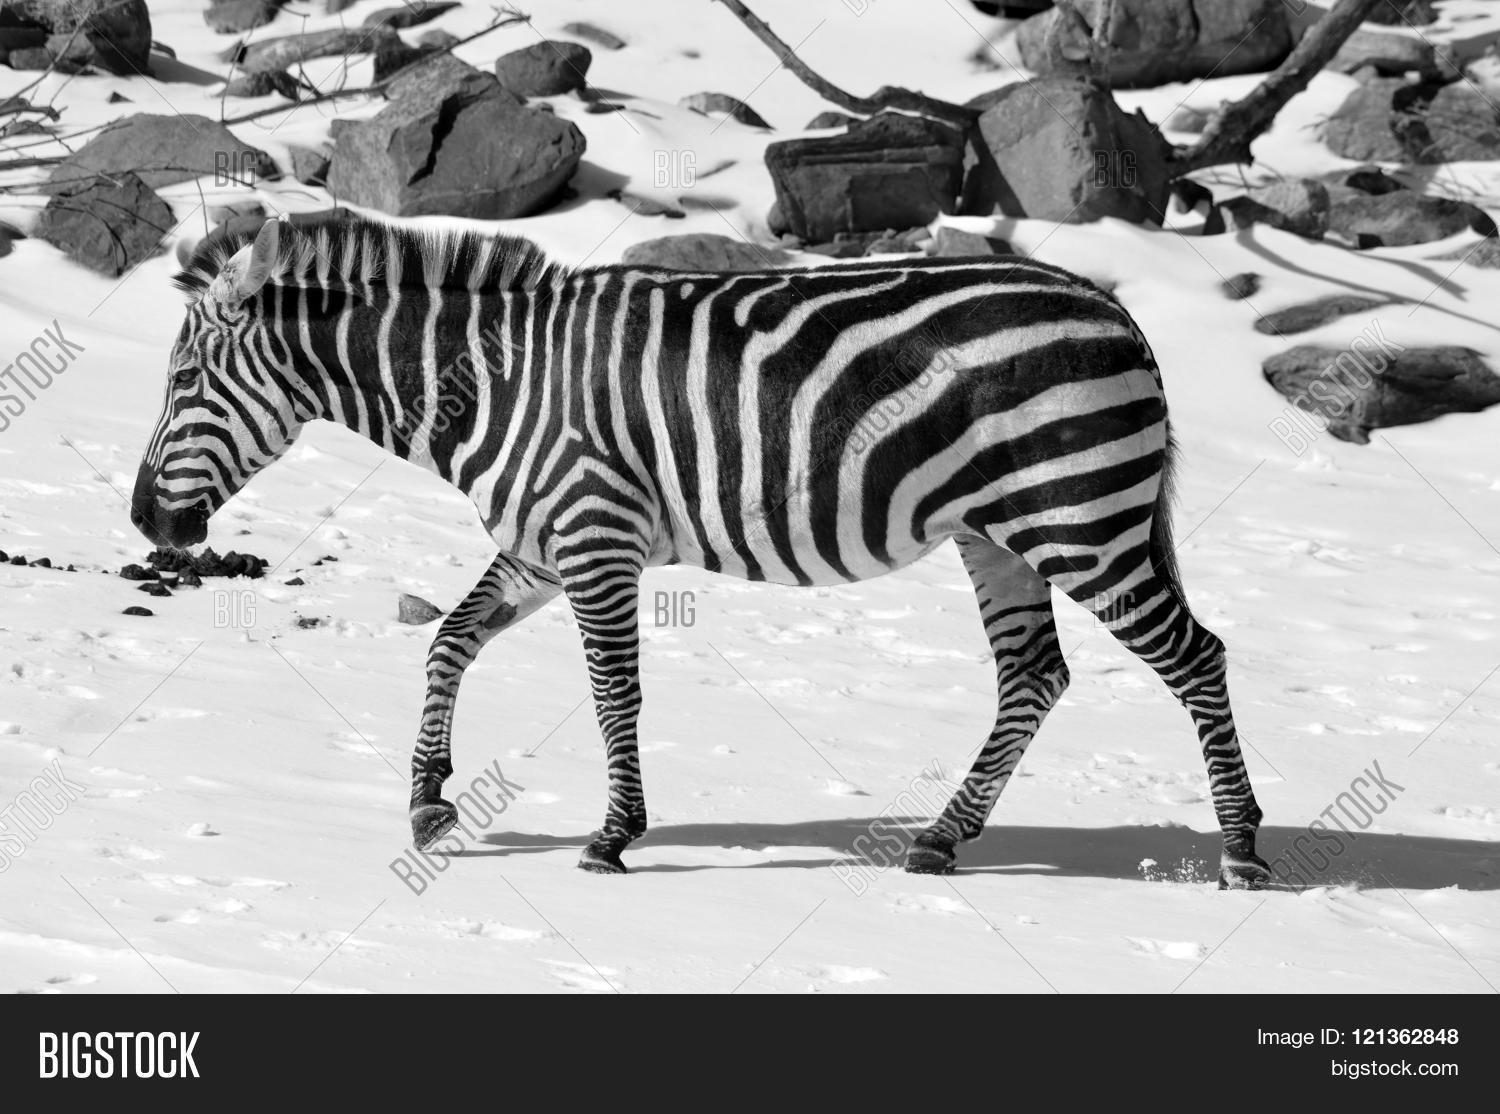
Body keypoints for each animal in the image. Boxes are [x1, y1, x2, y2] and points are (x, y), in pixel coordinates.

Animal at [132, 213, 1271, 888]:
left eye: (184, 381)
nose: (148, 522)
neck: (490, 382)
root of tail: (1113, 305)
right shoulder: (540, 543)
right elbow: (449, 641)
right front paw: (427, 799)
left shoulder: (593, 534)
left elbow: (613, 692)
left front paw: (612, 836)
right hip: (1002, 537)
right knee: (1035, 674)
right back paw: (943, 837)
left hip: (1079, 520)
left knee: (1198, 658)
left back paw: (1242, 851)